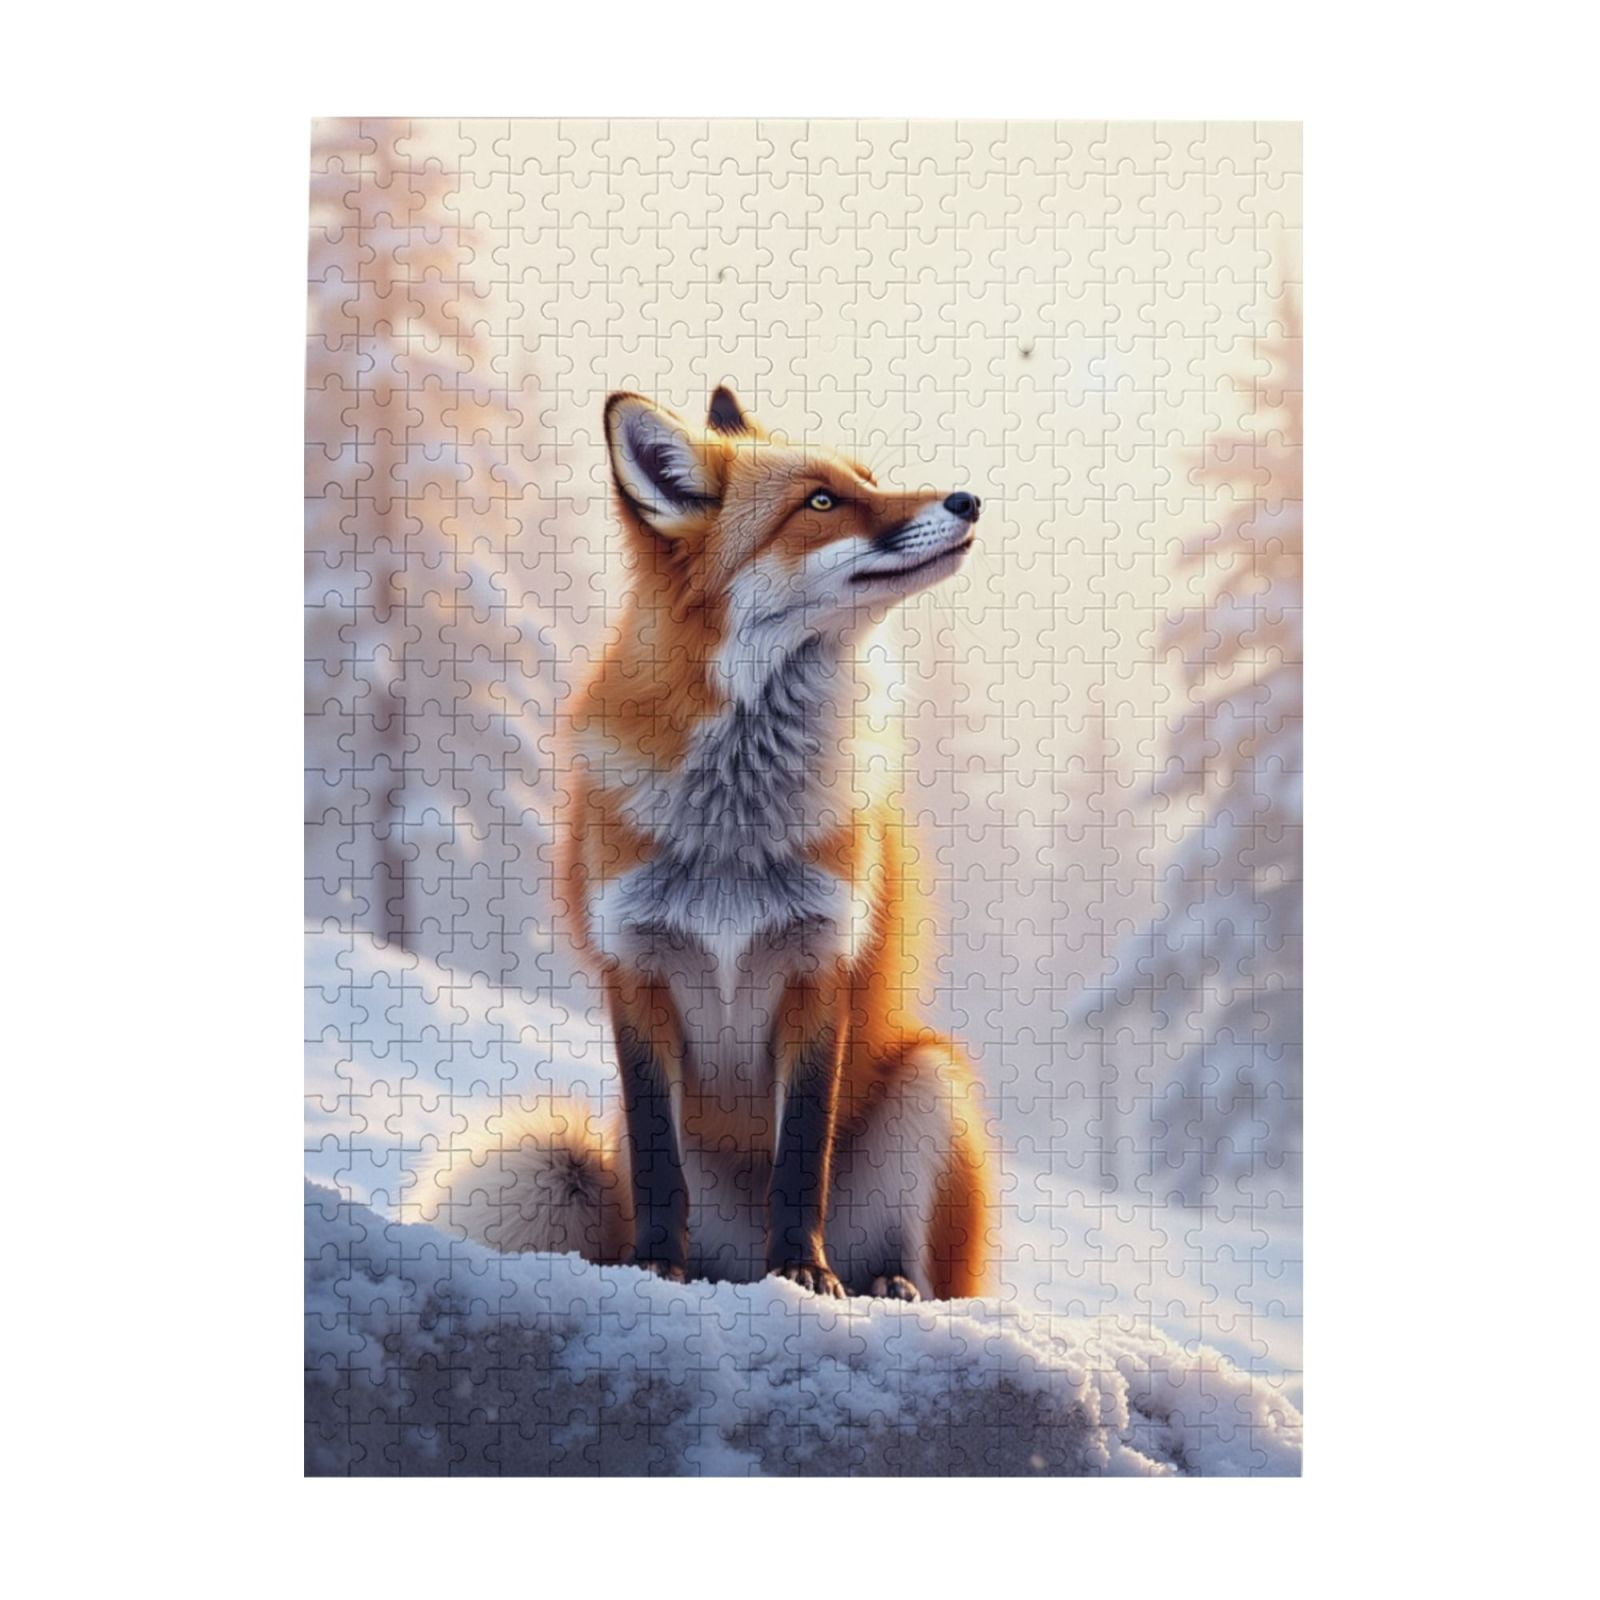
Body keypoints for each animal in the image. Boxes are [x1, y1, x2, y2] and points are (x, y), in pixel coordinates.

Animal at [417, 386, 994, 1300]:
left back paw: (877, 1285)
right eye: (821, 502)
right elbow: (661, 1164)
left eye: (869, 479)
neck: (735, 810)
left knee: (933, 1279)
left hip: (932, 1085)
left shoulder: (817, 966)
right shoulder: (636, 969)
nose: (968, 500)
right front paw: (656, 1266)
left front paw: (802, 1269)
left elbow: (800, 1162)